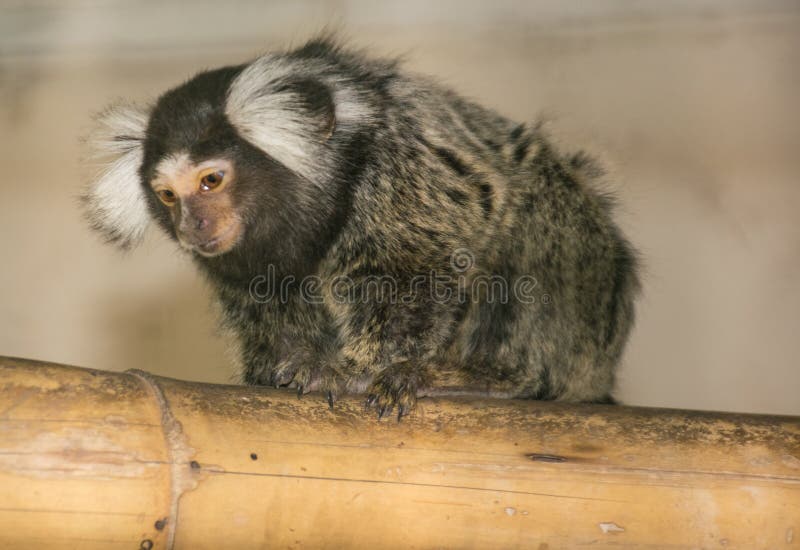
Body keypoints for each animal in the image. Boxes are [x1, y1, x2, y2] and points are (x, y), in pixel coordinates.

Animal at [83, 37, 640, 420]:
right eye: (167, 195)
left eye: (211, 180)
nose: (192, 224)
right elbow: (271, 307)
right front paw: (282, 370)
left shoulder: (396, 176)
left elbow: (409, 277)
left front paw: (357, 372)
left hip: (585, 307)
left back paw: (491, 381)